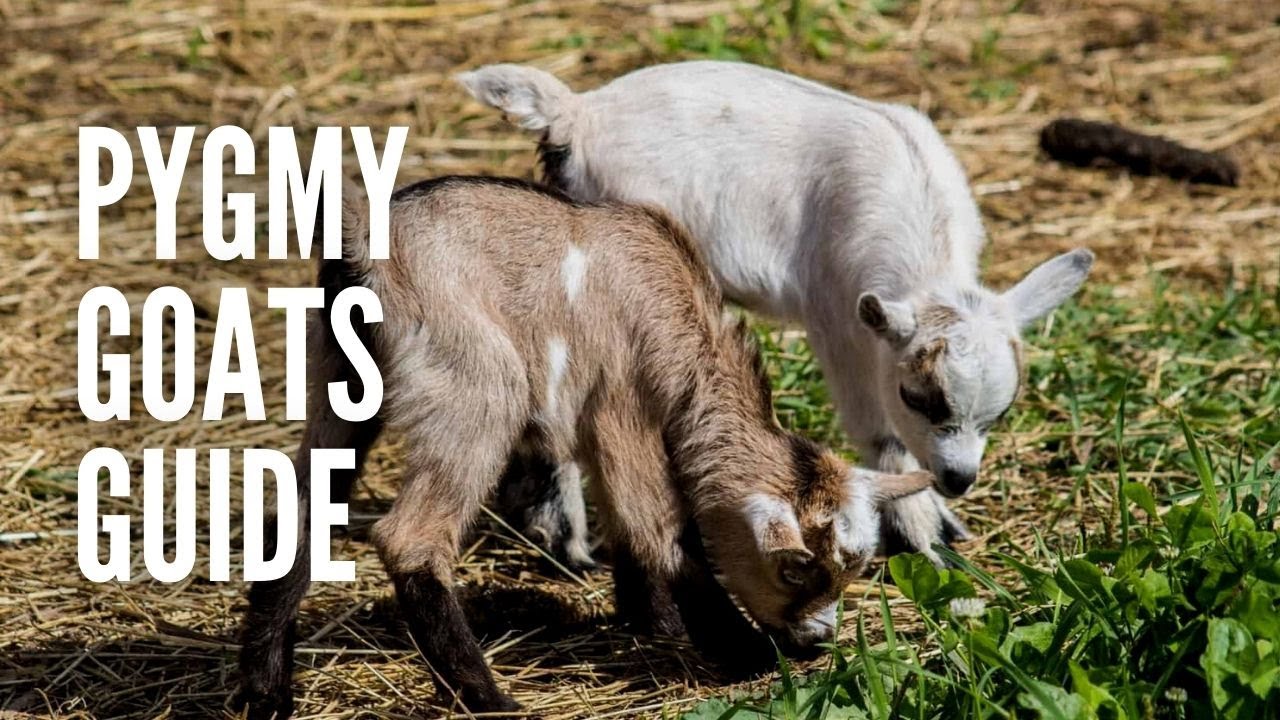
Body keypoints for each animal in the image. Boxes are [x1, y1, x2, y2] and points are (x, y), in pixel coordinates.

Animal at [236, 176, 936, 717]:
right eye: (795, 568)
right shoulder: (620, 402)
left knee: (300, 511)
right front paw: (744, 655)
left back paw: (266, 692)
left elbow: (625, 527)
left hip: (339, 377)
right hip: (476, 385)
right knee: (409, 536)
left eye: (854, 568)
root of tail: (364, 243)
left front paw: (650, 621)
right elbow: (660, 528)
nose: (816, 640)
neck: (677, 314)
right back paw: (489, 699)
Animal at [460, 61, 1095, 566]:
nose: (960, 479)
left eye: (1001, 411)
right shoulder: (838, 316)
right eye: (917, 396)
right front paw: (922, 533)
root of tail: (576, 113)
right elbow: (879, 429)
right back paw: (570, 537)